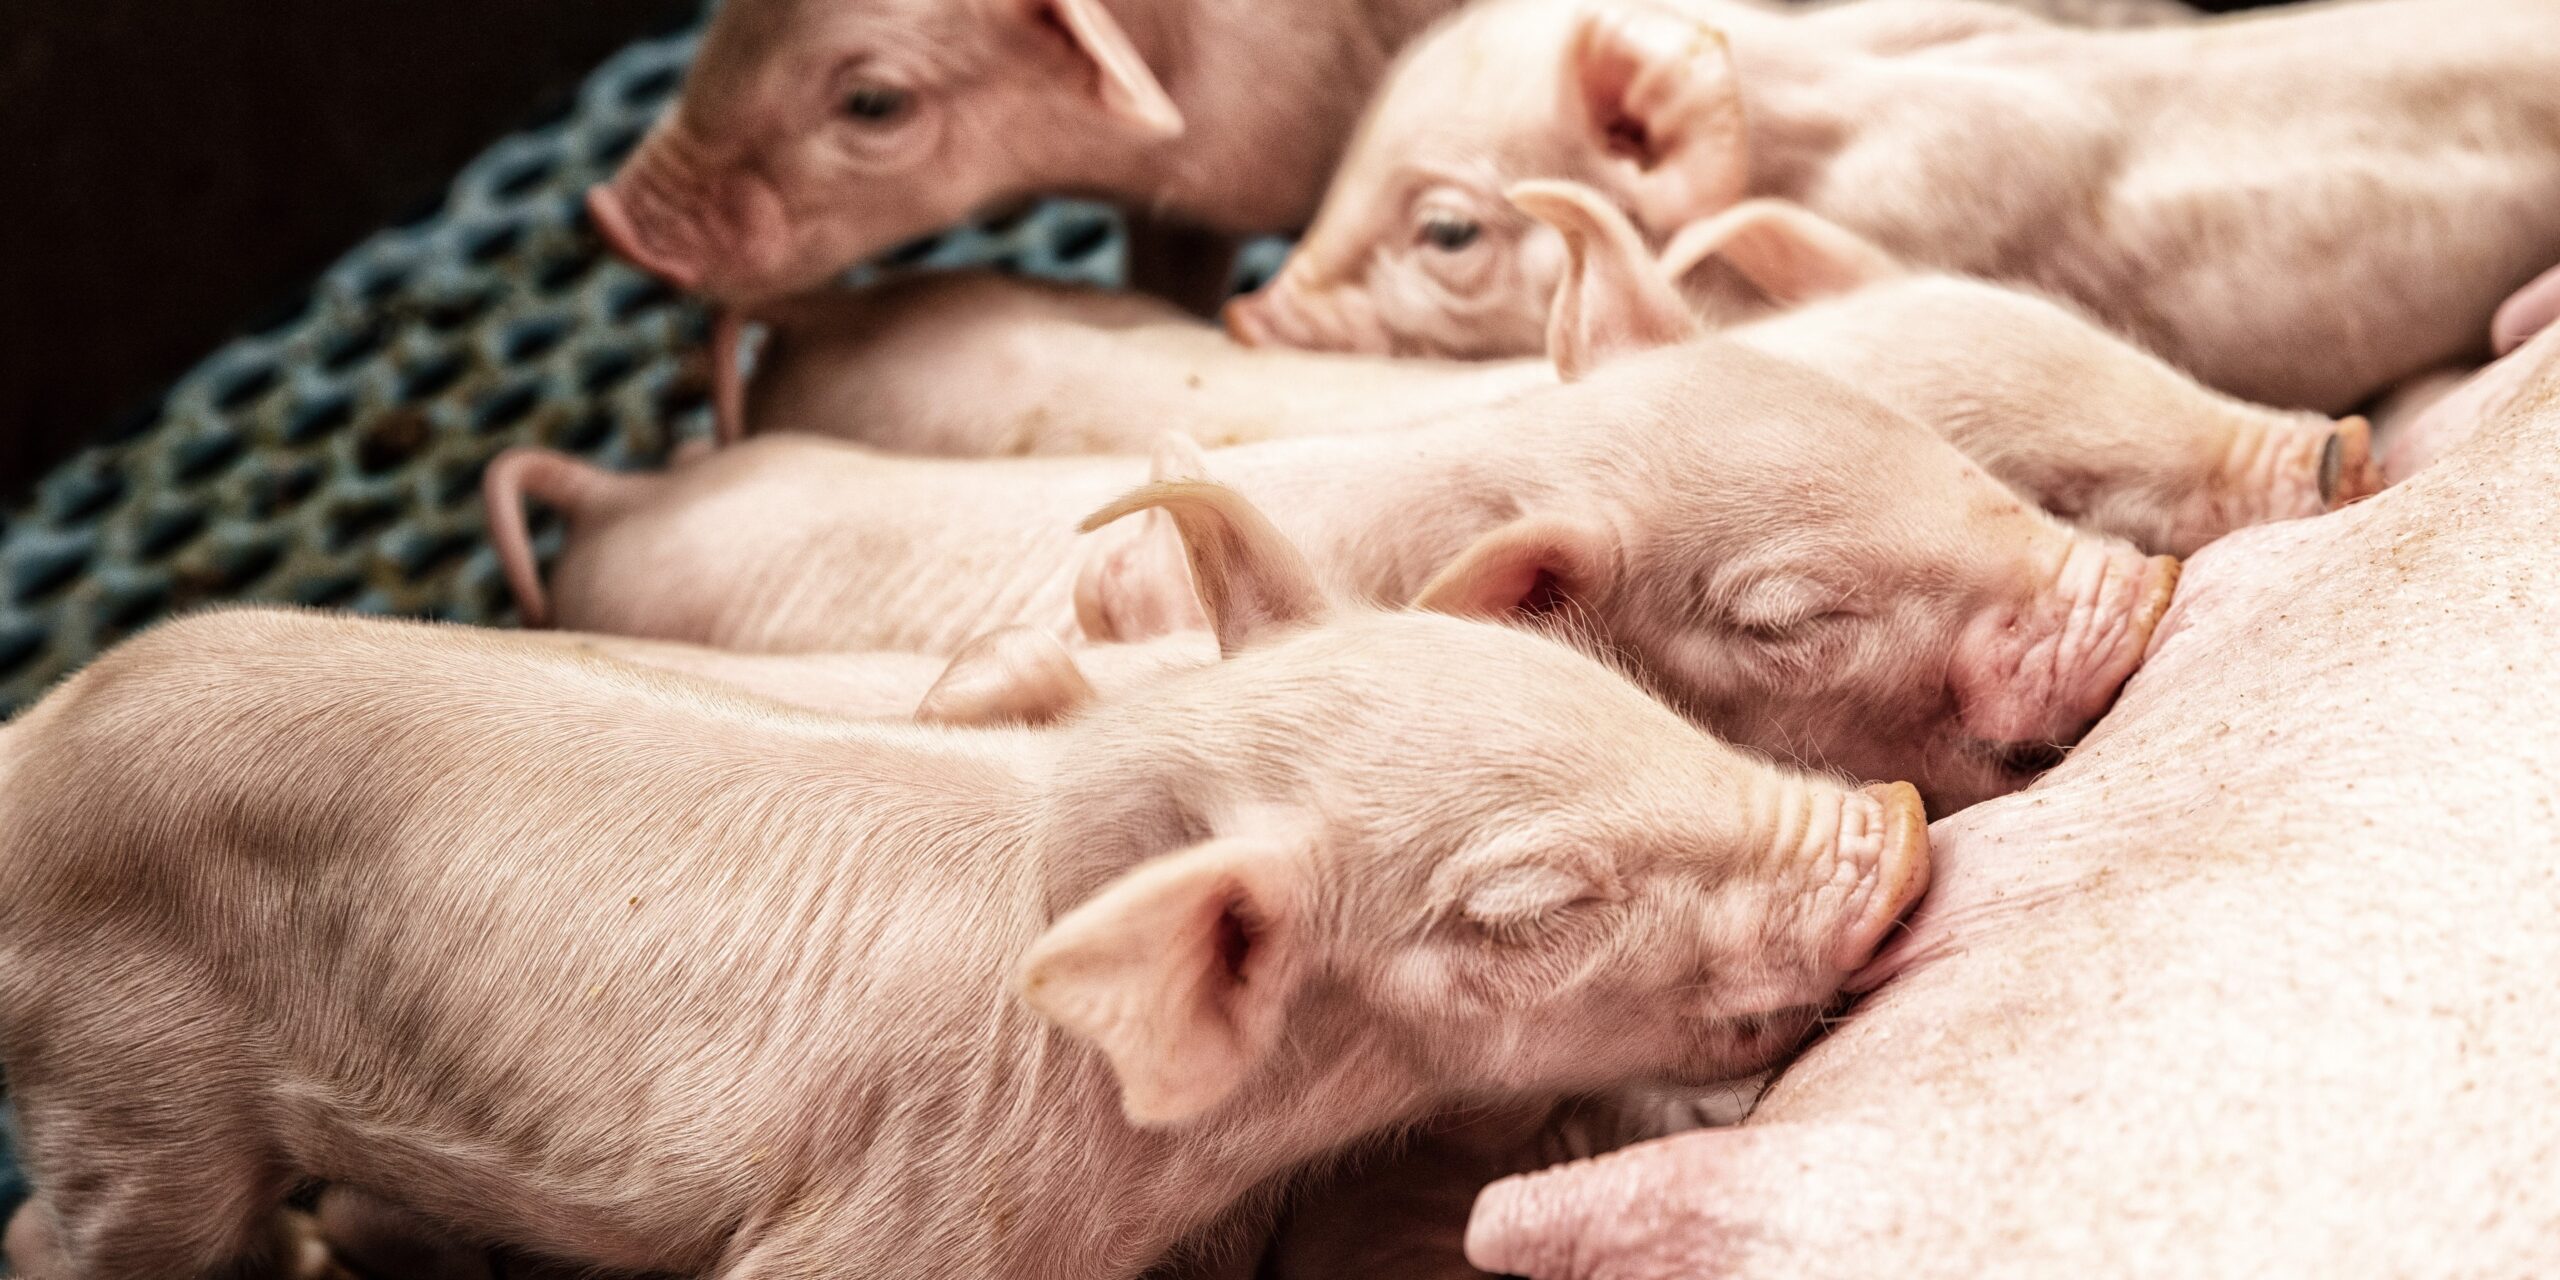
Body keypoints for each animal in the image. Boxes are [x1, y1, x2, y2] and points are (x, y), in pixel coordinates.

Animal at [0, 481, 1930, 1280]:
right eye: (1525, 905)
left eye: (1610, 695)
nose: (1898, 829)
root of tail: (31, 756)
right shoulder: (882, 1226)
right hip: (134, 1094)